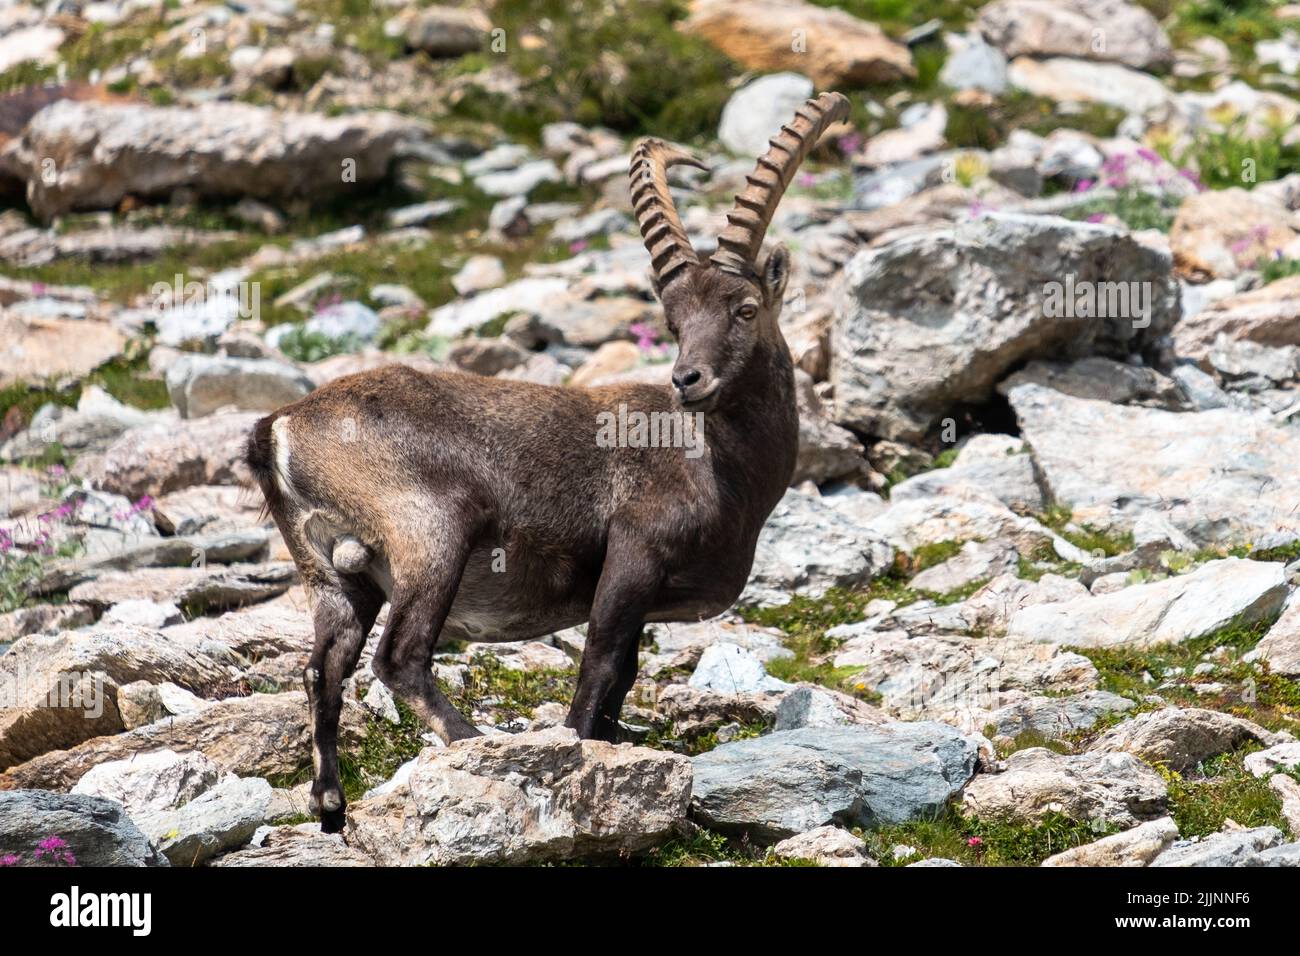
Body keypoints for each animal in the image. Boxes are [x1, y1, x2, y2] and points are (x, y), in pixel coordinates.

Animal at [245, 92, 850, 831]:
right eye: (674, 320)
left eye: (744, 307)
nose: (689, 379)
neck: (718, 465)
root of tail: (280, 427)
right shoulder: (631, 559)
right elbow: (598, 671)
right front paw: (588, 757)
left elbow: (623, 676)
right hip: (432, 532)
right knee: (400, 658)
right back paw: (476, 744)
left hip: (333, 575)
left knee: (322, 668)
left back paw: (330, 802)